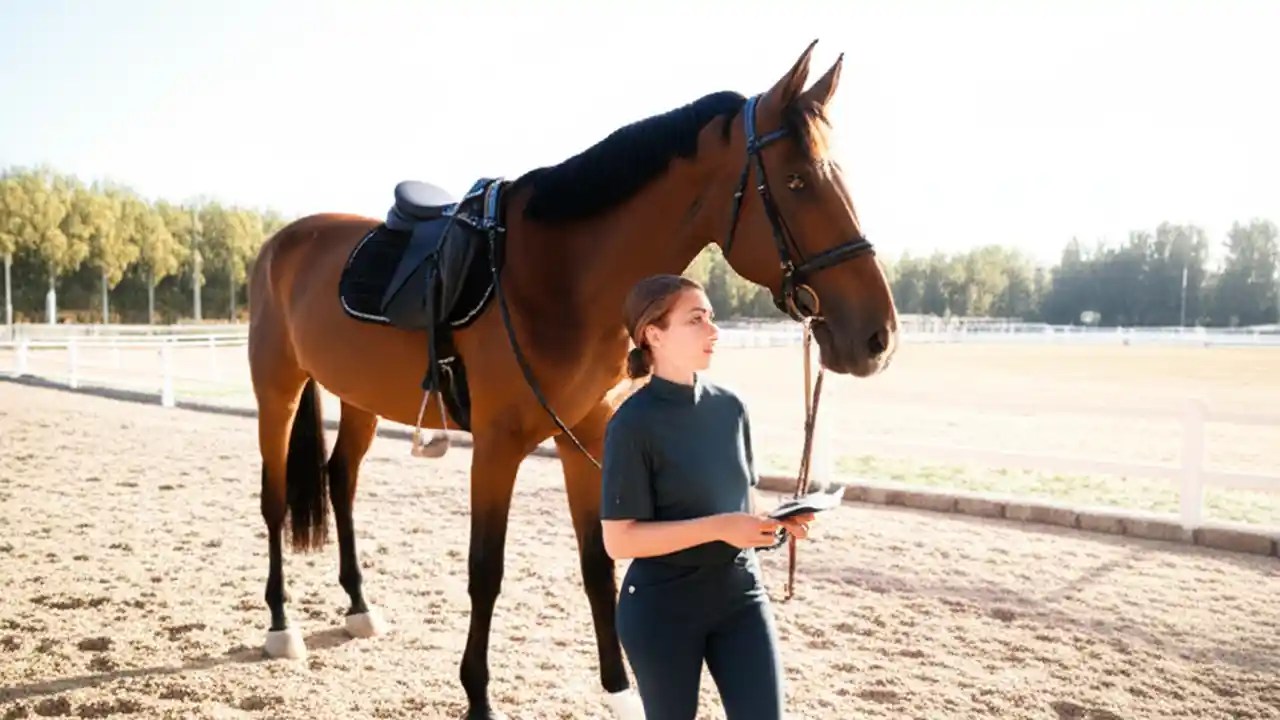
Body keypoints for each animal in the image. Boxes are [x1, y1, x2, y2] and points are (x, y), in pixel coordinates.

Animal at [245, 40, 899, 720]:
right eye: (796, 180)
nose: (877, 337)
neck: (558, 275)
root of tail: (282, 242)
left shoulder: (587, 434)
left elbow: (598, 559)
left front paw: (620, 686)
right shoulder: (498, 447)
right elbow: (486, 572)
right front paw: (479, 697)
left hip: (359, 401)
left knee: (340, 481)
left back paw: (359, 606)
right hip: (277, 389)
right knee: (273, 502)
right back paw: (281, 625)